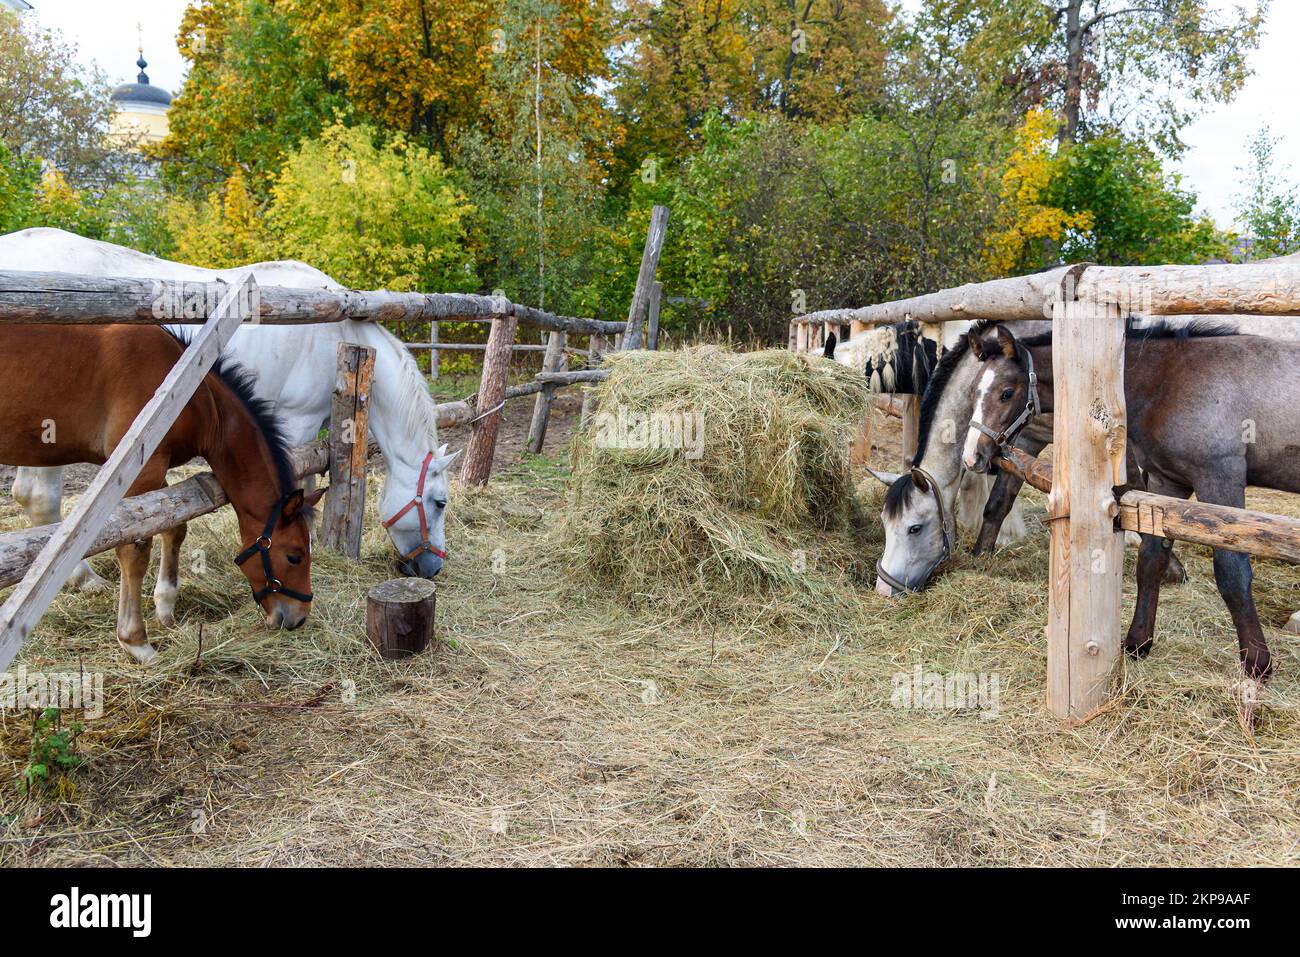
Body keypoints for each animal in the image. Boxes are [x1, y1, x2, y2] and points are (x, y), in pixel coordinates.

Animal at [0, 228, 459, 596]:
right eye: (439, 502)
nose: (432, 567)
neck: (336, 332)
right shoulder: (296, 424)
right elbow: (300, 483)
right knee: (41, 499)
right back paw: (84, 579)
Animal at [0, 324, 323, 663]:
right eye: (295, 556)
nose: (299, 616)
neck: (193, 394)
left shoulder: (156, 475)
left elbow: (174, 526)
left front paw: (165, 606)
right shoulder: (142, 472)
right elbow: (135, 551)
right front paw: (136, 641)